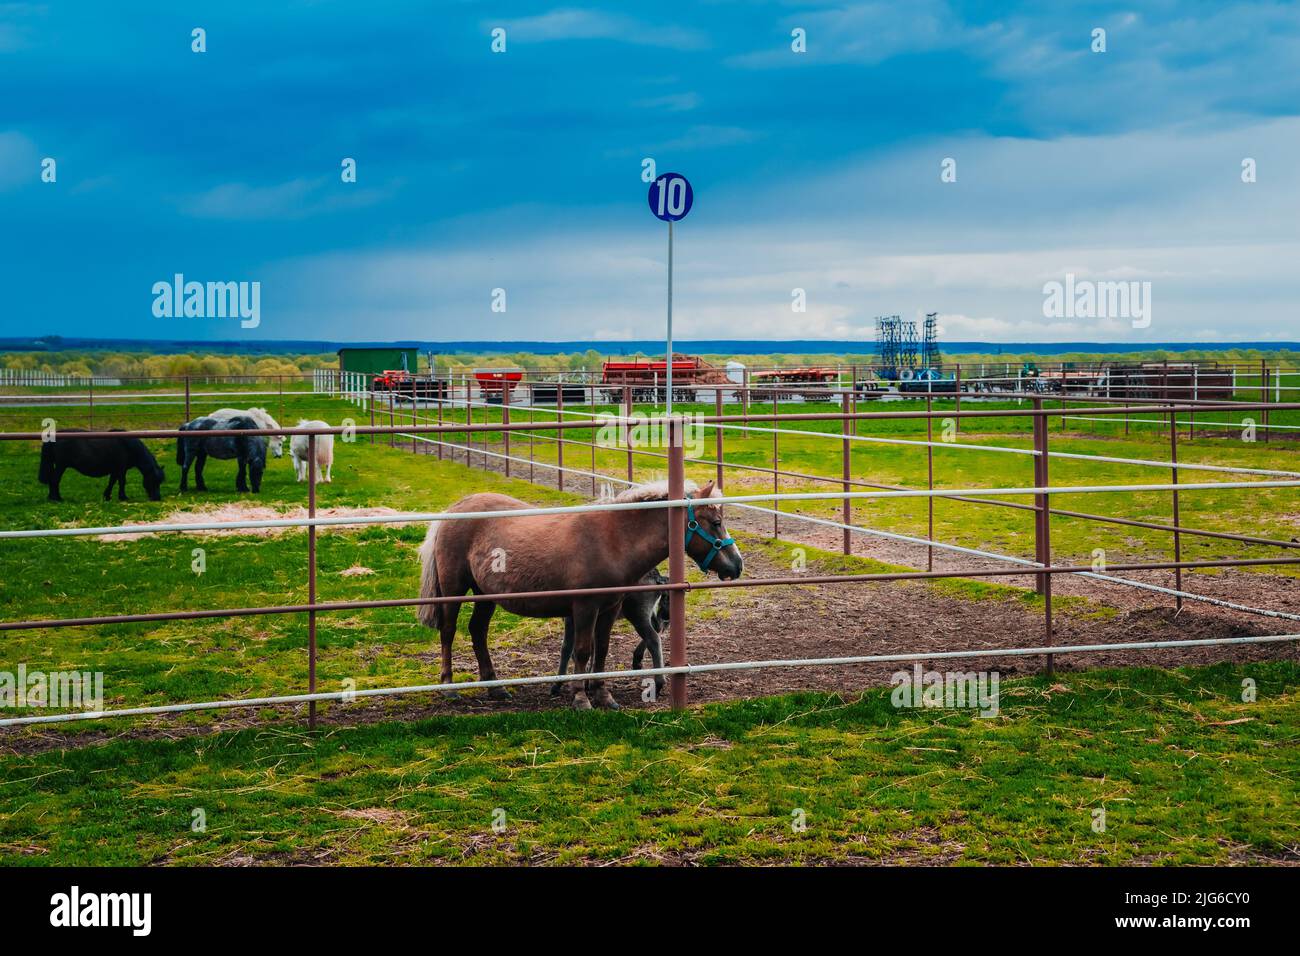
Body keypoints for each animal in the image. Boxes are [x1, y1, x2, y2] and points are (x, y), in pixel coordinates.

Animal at [552, 567, 671, 698]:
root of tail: (656, 576)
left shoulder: (572, 617)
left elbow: (567, 648)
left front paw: (557, 685)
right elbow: (592, 649)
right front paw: (588, 681)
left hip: (635, 611)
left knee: (653, 638)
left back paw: (658, 684)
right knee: (657, 627)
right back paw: (637, 661)